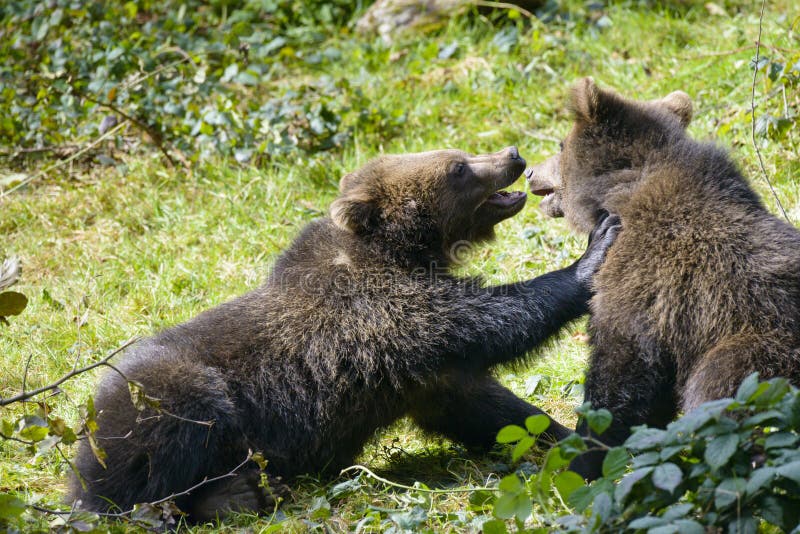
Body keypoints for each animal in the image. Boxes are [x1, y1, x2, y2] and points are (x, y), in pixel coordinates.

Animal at [70, 146, 621, 520]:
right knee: (161, 460)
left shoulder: (423, 374)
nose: (512, 156)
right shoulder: (385, 313)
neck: (405, 251)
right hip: (161, 397)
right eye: (457, 168)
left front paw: (571, 438)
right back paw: (226, 495)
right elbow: (492, 319)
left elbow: (485, 405)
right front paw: (591, 253)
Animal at [525, 77, 800, 480]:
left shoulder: (643, 285)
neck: (618, 192)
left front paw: (581, 462)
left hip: (757, 355)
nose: (530, 171)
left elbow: (622, 373)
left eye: (560, 145)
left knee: (720, 395)